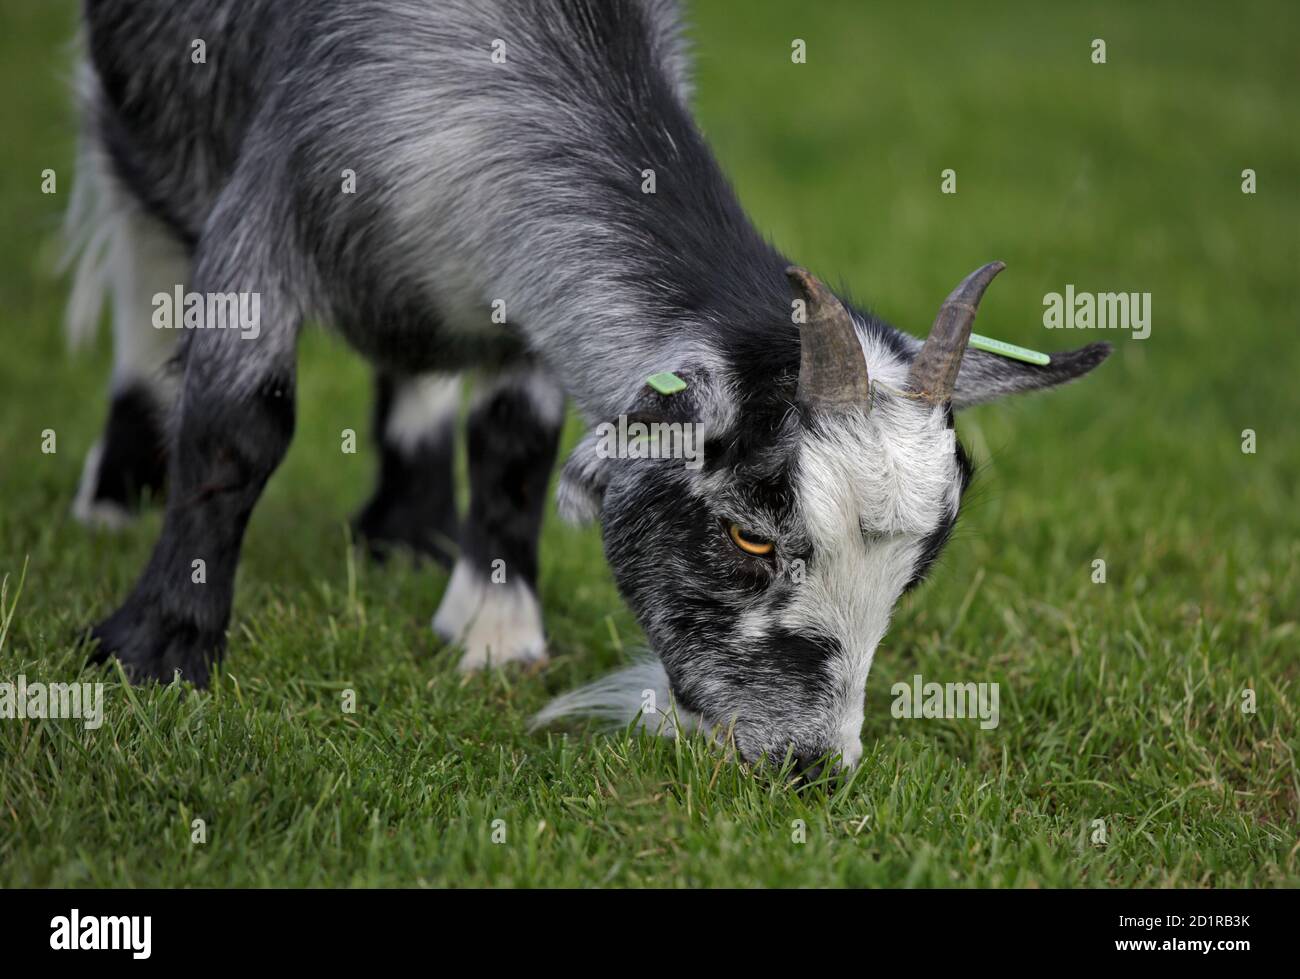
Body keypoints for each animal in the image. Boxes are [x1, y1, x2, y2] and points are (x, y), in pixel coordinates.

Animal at [66, 0, 1109, 772]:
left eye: (917, 567)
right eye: (749, 535)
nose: (811, 763)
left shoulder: (523, 291)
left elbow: (514, 439)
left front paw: (496, 630)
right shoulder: (266, 213)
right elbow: (239, 427)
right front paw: (157, 649)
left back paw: (408, 528)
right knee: (139, 264)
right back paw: (116, 494)